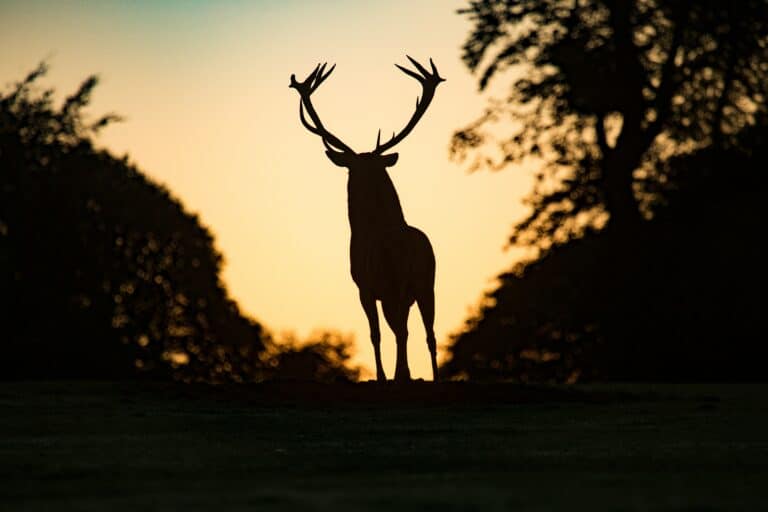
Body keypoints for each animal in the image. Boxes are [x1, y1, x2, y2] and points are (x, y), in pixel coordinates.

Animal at [289, 56, 445, 383]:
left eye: (352, 168)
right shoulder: (380, 290)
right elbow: (386, 333)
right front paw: (393, 374)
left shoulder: (369, 285)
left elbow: (382, 333)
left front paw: (390, 375)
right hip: (418, 286)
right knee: (419, 332)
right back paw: (423, 374)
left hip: (411, 284)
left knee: (412, 331)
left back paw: (413, 374)